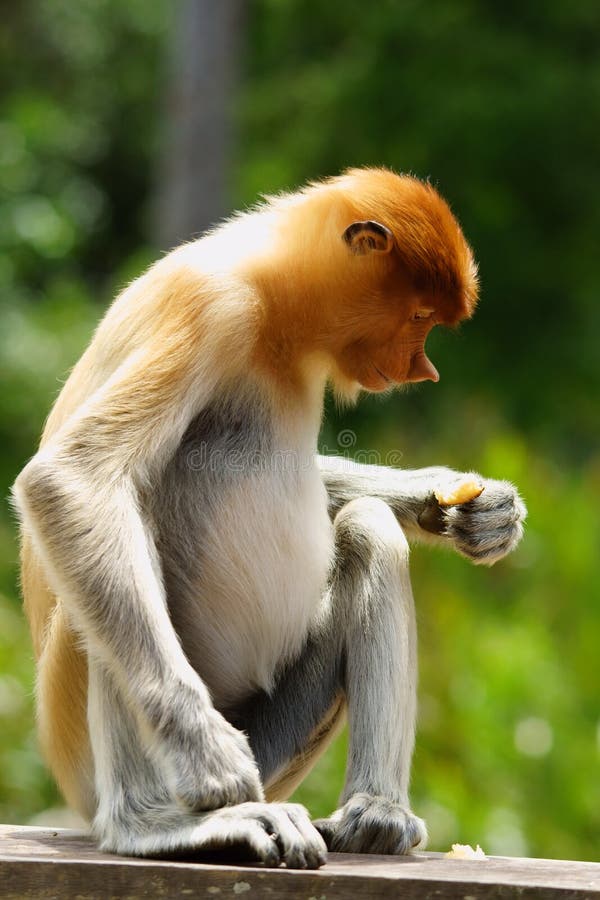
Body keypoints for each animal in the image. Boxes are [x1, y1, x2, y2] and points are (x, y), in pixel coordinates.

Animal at [13, 167, 526, 868]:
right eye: (420, 315)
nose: (424, 369)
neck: (272, 302)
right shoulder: (210, 307)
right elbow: (71, 480)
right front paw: (205, 754)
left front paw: (475, 509)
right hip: (92, 752)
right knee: (123, 527)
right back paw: (159, 823)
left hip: (275, 739)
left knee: (367, 530)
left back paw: (376, 818)